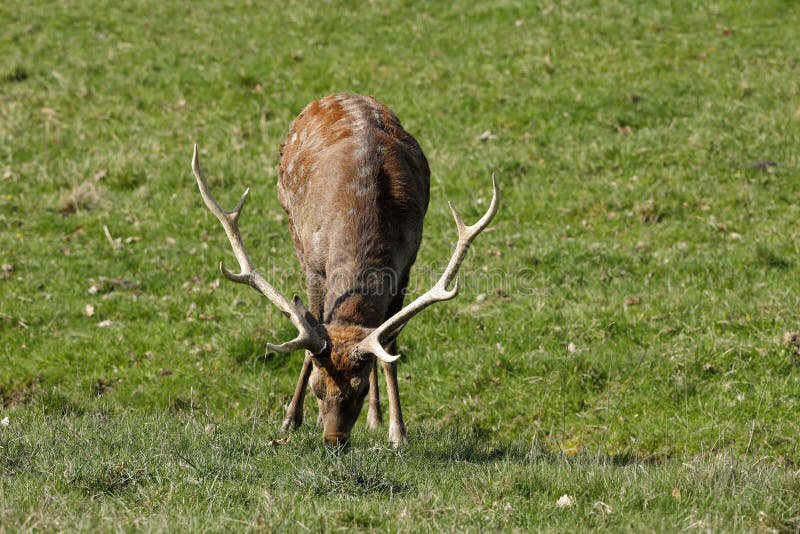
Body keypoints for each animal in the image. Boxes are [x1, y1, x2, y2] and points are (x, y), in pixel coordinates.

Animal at [191, 93, 498, 446]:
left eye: (360, 389)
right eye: (317, 390)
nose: (334, 440)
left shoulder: (405, 268)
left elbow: (388, 349)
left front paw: (397, 432)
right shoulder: (315, 268)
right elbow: (311, 332)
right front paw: (289, 420)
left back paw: (376, 418)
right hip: (294, 227)